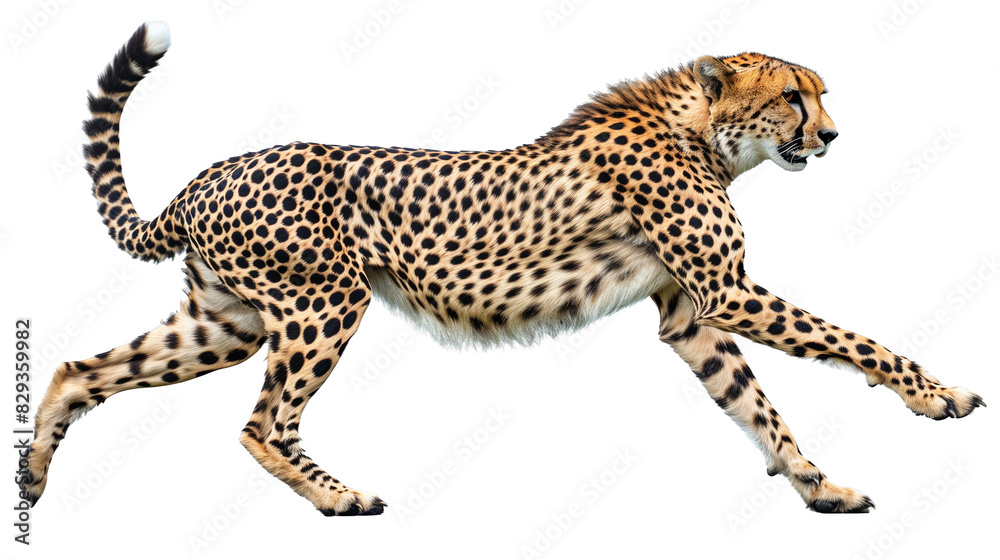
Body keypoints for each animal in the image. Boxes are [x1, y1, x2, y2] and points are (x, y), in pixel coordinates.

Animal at [22, 22, 984, 516]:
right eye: (793, 95)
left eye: (819, 94)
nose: (832, 135)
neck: (703, 131)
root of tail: (204, 177)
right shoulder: (730, 293)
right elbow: (856, 341)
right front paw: (938, 395)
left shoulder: (693, 315)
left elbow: (759, 408)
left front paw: (820, 486)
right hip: (323, 304)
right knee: (264, 424)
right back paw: (340, 500)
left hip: (225, 320)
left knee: (81, 368)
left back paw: (32, 472)